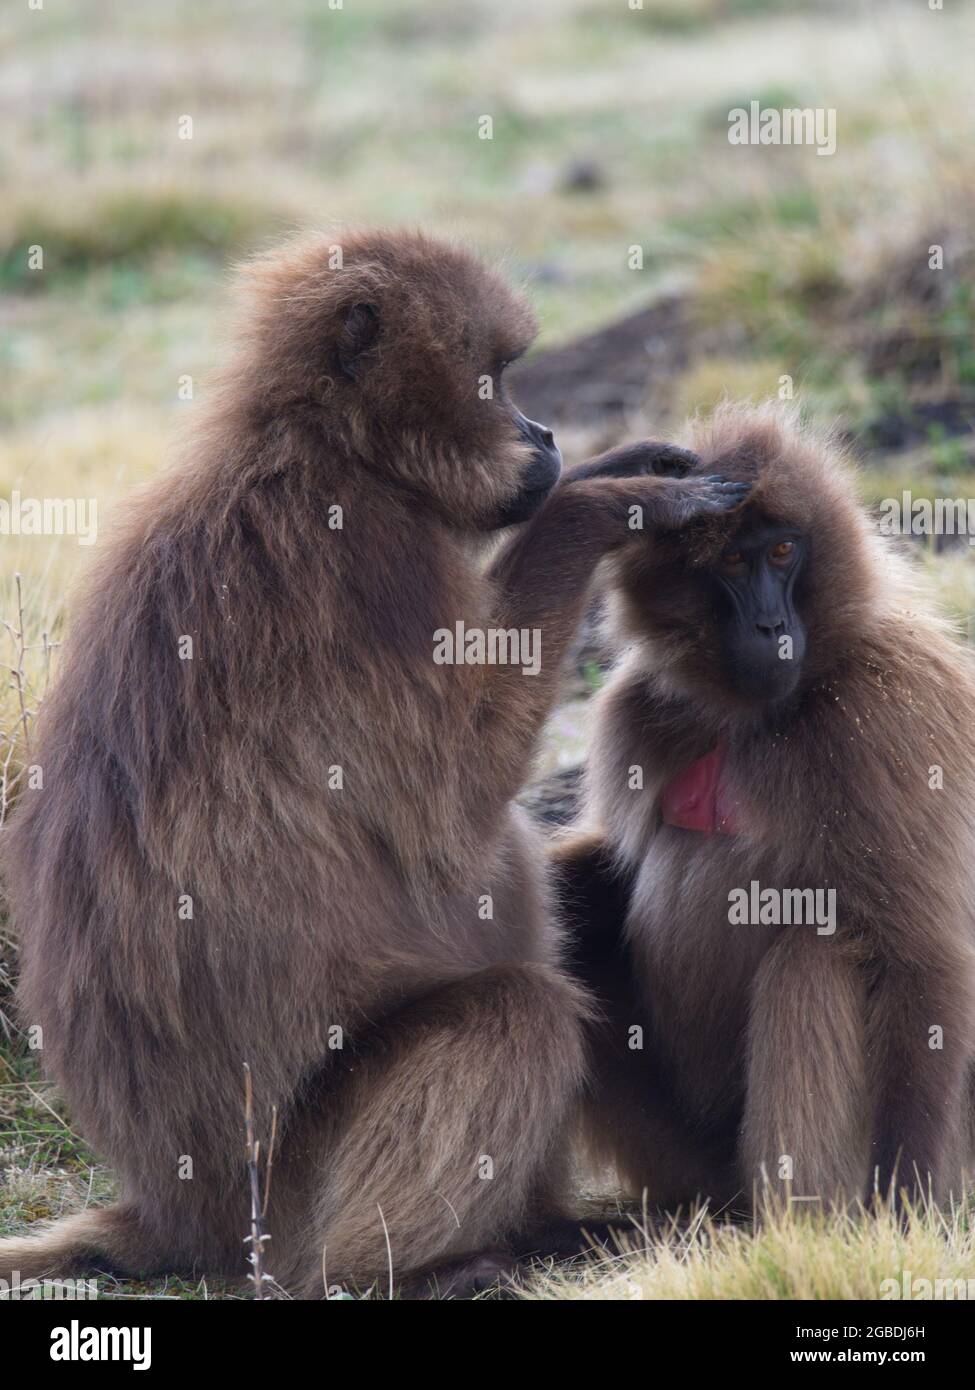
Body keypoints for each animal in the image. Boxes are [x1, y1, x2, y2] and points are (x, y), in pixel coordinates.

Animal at [0, 229, 751, 1298]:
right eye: (492, 376)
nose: (547, 435)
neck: (334, 453)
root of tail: (174, 1211)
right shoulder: (362, 564)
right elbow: (450, 807)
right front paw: (616, 505)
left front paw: (622, 465)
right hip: (288, 1193)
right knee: (513, 1013)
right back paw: (428, 1268)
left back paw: (552, 1232)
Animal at [554, 402, 975, 1219]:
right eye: (729, 564)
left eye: (782, 552)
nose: (769, 628)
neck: (756, 717)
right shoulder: (640, 710)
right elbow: (611, 866)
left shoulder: (892, 711)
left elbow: (924, 956)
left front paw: (899, 1204)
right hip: (685, 1150)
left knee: (817, 949)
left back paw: (799, 1221)